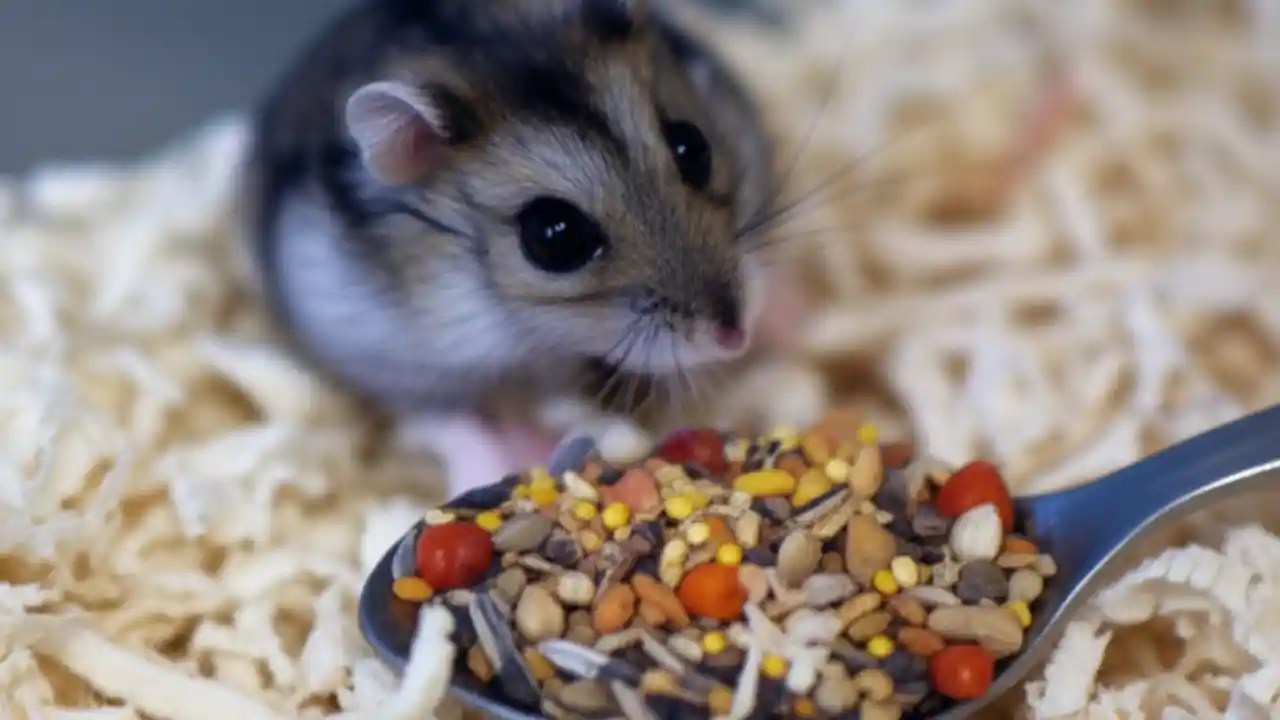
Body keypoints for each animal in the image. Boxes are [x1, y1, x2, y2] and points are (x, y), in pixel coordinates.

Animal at [245, 0, 790, 492]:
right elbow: (442, 418)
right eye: (554, 235)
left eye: (693, 147)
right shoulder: (376, 347)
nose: (735, 337)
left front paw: (783, 316)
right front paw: (515, 457)